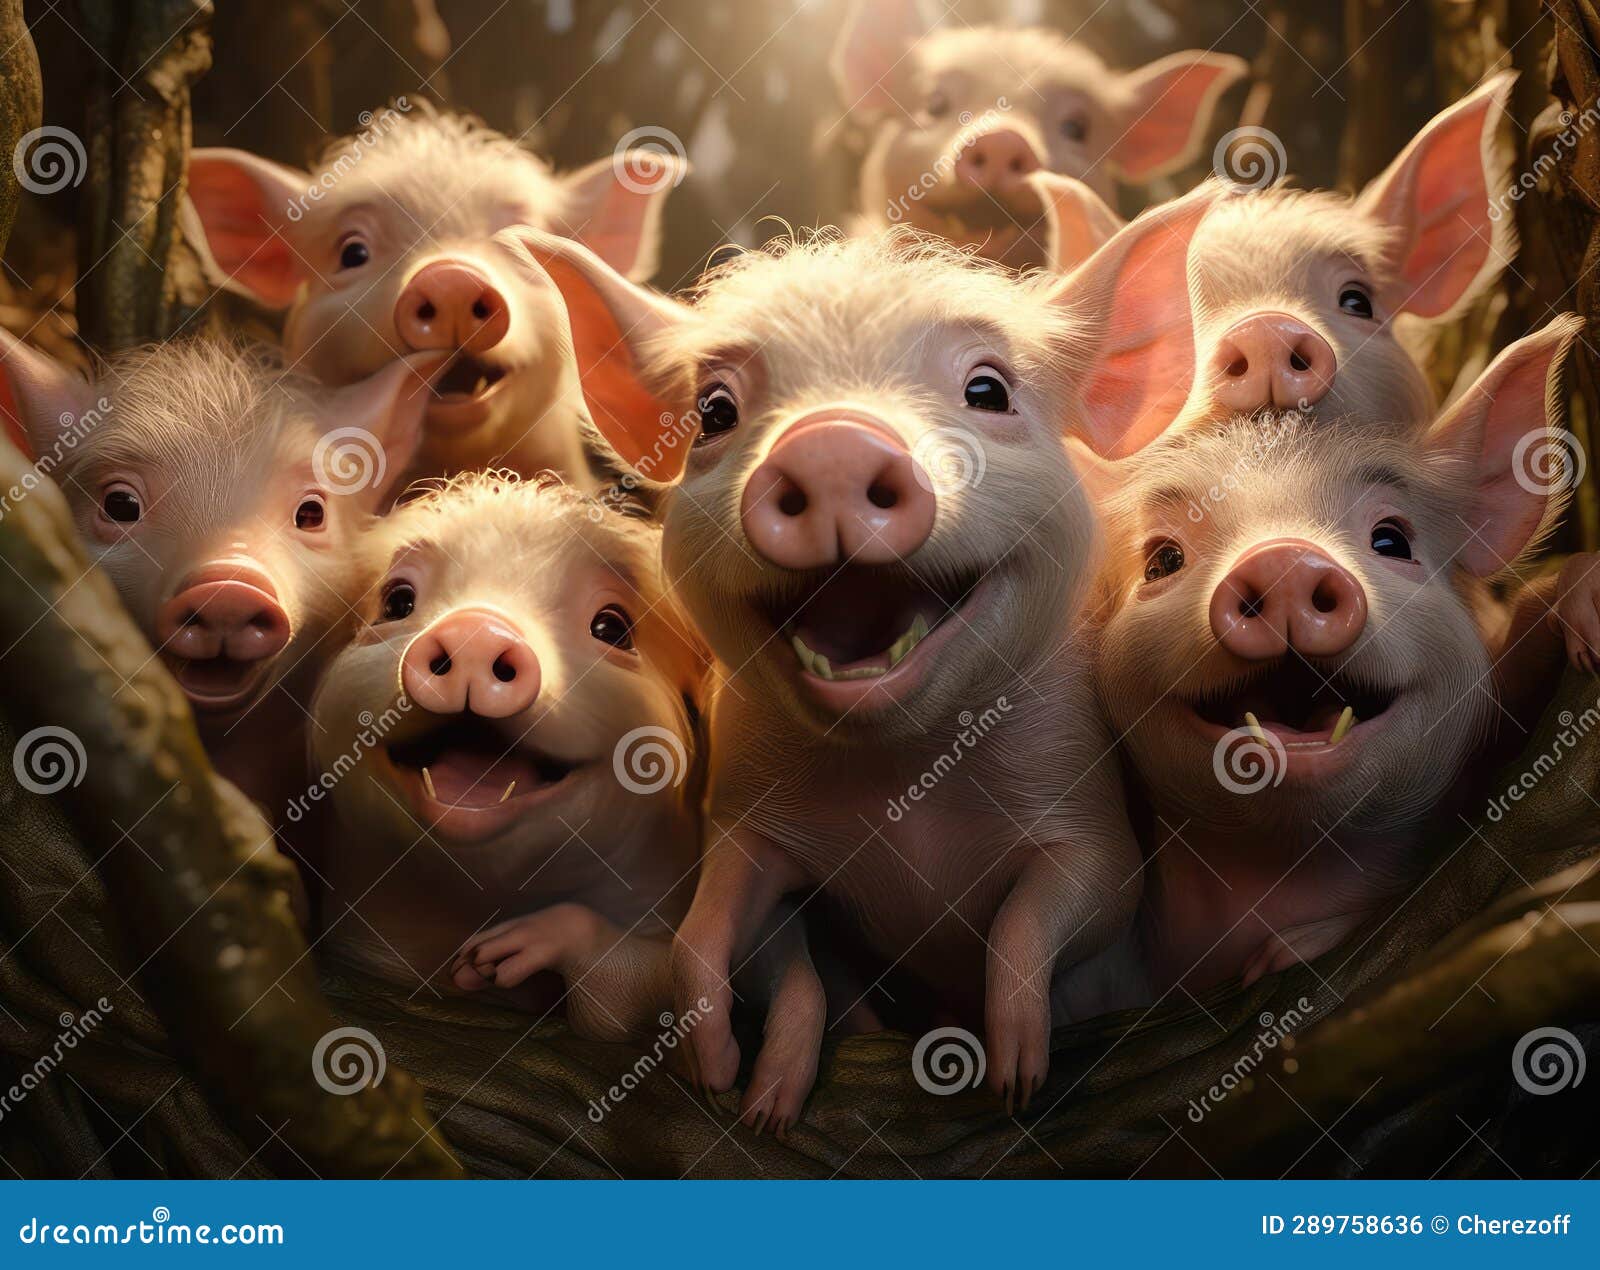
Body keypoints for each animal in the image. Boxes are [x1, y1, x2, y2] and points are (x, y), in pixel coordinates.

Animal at [508, 185, 1224, 1111]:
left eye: (988, 390)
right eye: (715, 413)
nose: (833, 441)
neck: (902, 784)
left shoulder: (1087, 810)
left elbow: (1056, 909)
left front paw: (1014, 1084)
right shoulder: (745, 813)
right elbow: (716, 932)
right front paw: (735, 1089)